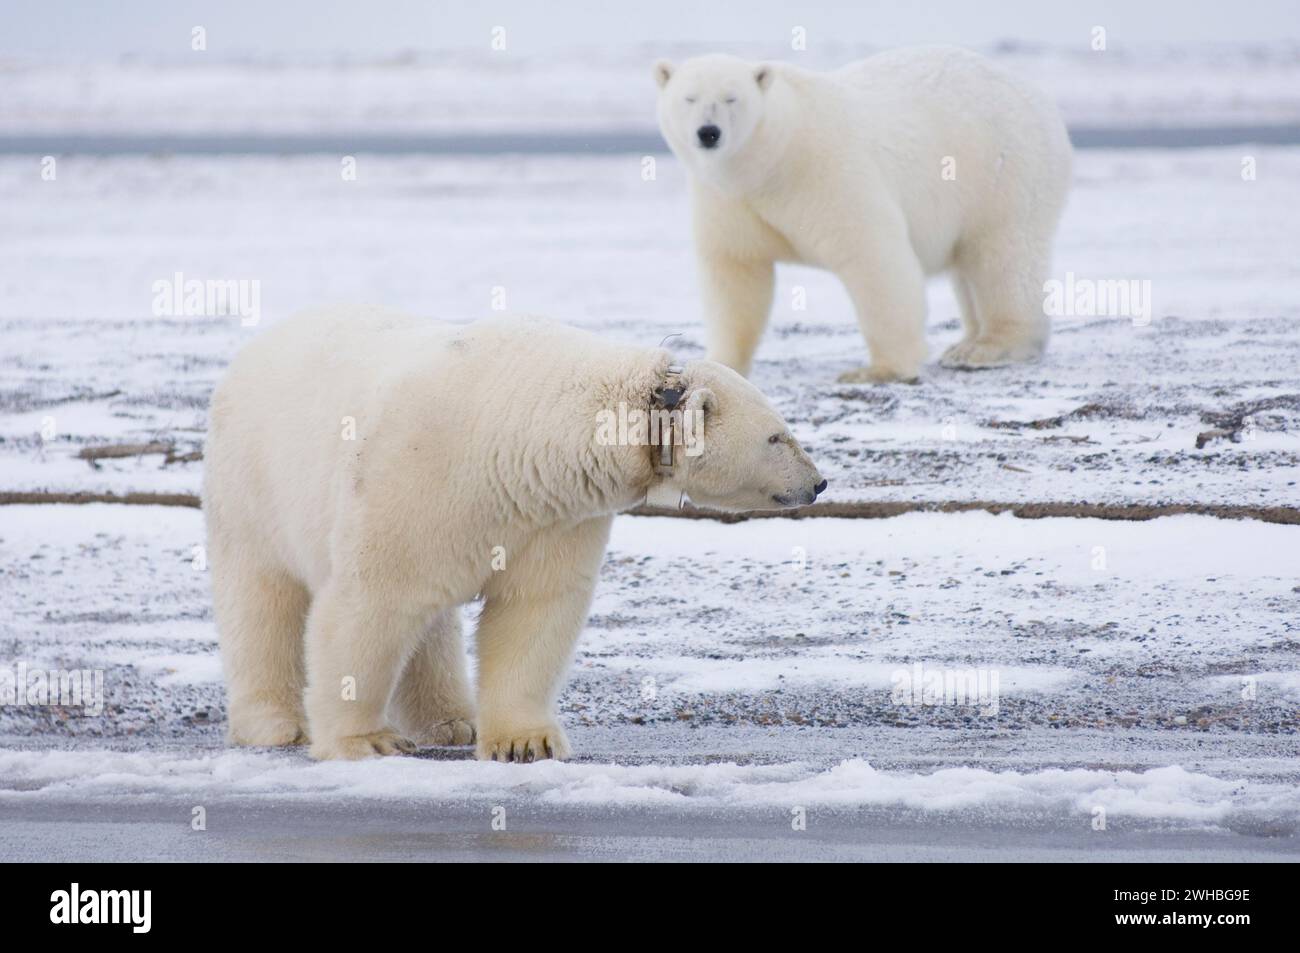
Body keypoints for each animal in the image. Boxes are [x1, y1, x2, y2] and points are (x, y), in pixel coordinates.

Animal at [203, 306, 825, 761]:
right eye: (777, 436)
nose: (818, 483)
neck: (518, 436)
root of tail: (253, 348)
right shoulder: (414, 474)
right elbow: (369, 605)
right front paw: (366, 741)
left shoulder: (554, 513)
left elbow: (533, 609)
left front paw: (526, 742)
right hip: (253, 484)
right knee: (263, 599)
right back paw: (276, 724)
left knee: (429, 623)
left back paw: (452, 721)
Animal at [654, 47, 1073, 382]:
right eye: (689, 98)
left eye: (732, 98)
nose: (709, 133)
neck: (771, 161)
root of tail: (1040, 99)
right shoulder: (728, 200)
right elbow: (736, 274)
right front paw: (717, 361)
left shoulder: (827, 172)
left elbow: (873, 258)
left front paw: (878, 370)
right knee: (969, 264)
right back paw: (965, 341)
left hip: (1003, 168)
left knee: (1003, 255)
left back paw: (988, 347)